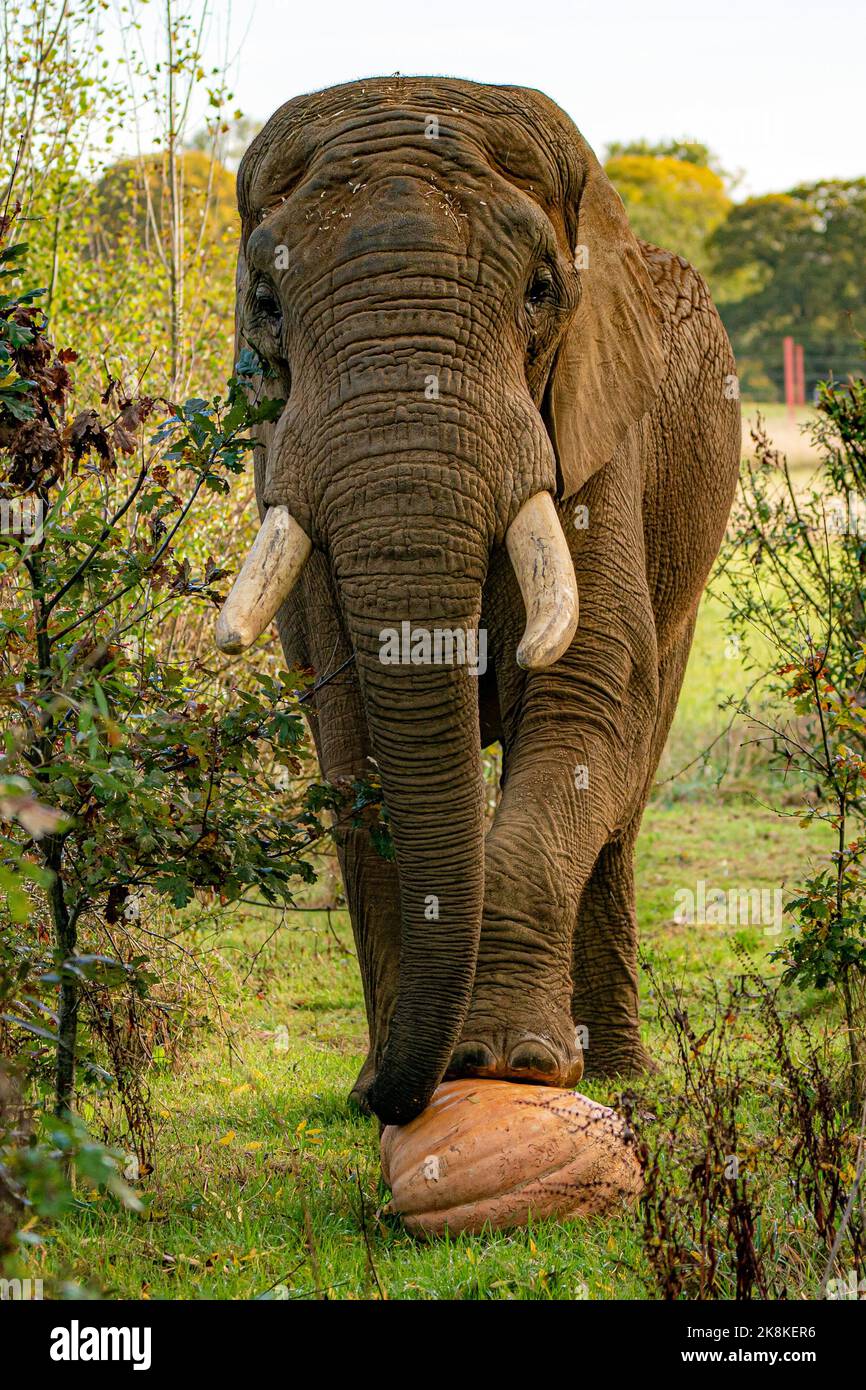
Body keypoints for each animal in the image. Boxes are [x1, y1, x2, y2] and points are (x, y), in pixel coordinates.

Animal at [215, 77, 741, 1127]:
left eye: (541, 291)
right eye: (264, 303)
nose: (393, 1100)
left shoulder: (596, 428)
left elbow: (590, 690)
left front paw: (511, 1063)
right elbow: (351, 732)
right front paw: (391, 1078)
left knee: (626, 792)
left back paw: (618, 1072)